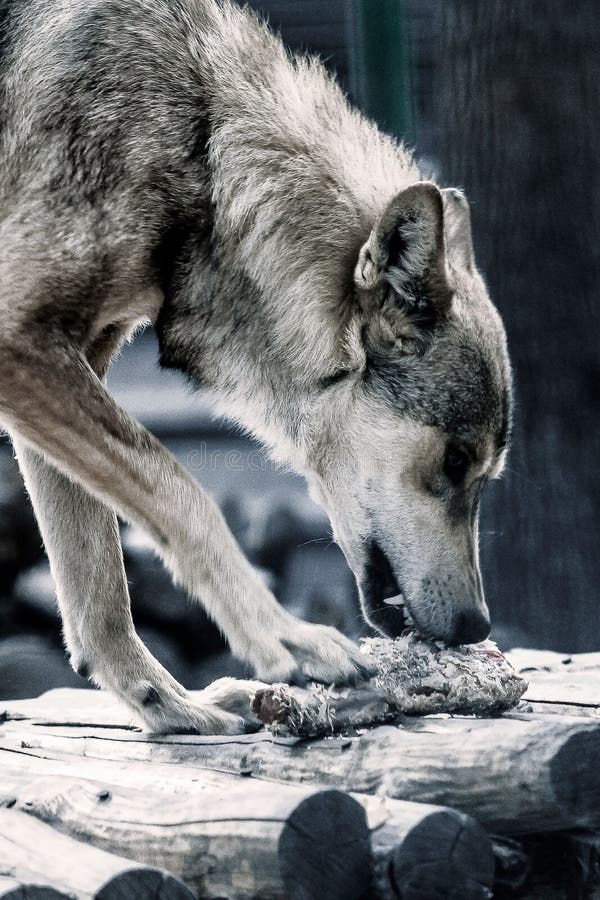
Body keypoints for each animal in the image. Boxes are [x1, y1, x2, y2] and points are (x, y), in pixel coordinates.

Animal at [0, 0, 511, 733]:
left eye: (486, 473)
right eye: (455, 461)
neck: (204, 143)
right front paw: (286, 640)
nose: (478, 627)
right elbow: (182, 494)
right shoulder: (23, 341)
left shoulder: (75, 362)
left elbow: (100, 592)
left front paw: (172, 708)